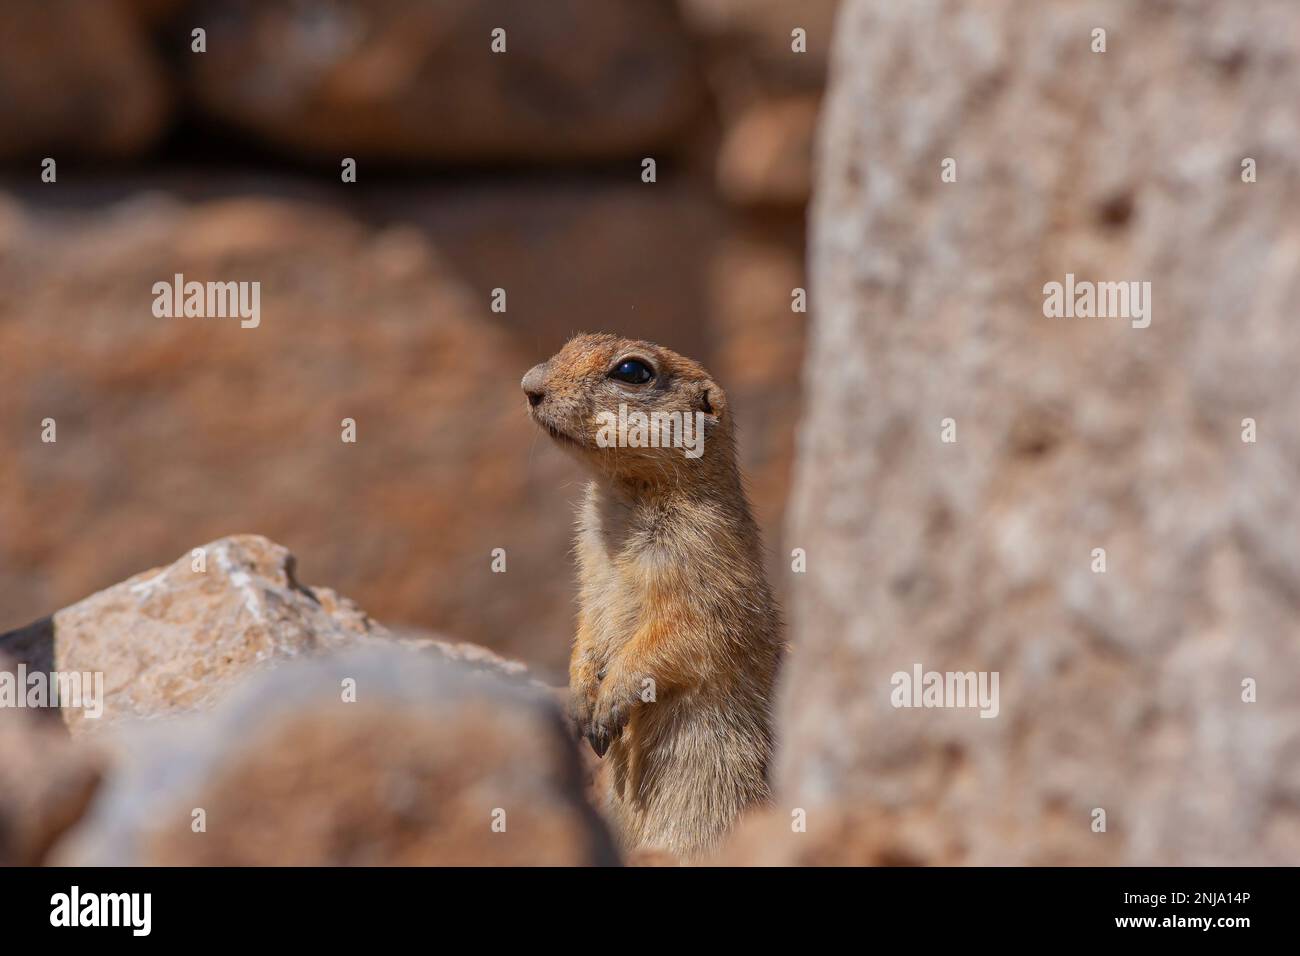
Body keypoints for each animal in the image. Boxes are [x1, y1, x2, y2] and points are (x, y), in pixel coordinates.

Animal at [522, 333, 783, 859]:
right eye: (570, 342)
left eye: (632, 371)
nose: (528, 387)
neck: (623, 498)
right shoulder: (591, 569)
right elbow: (588, 625)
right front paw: (581, 698)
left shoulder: (704, 563)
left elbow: (681, 636)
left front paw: (610, 703)